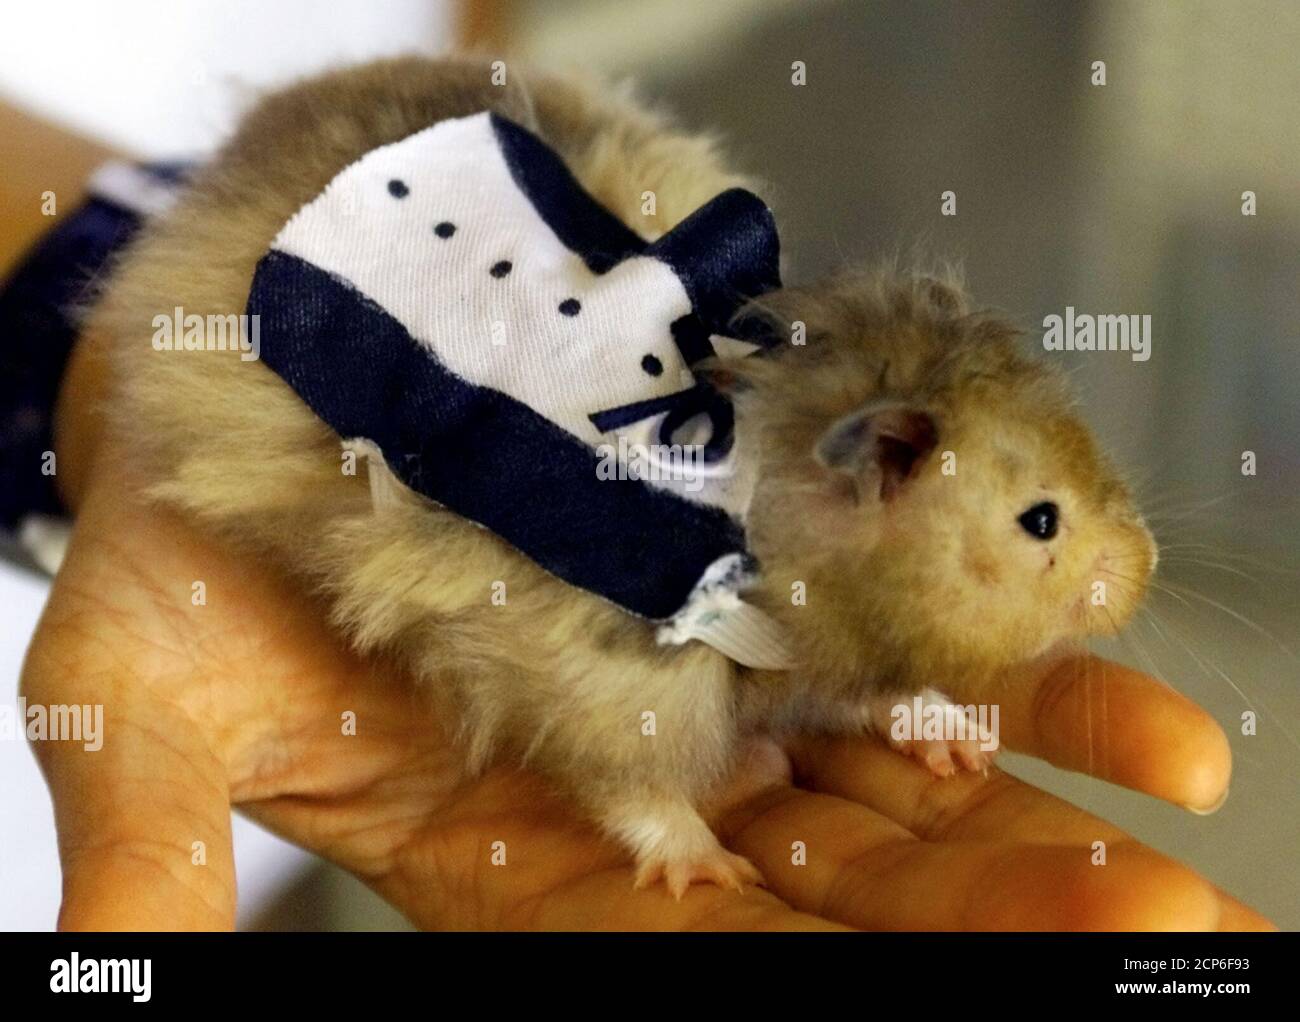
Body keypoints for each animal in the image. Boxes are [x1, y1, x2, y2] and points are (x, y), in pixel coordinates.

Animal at [94, 56, 1157, 897]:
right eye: (1042, 523)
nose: (1144, 567)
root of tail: (245, 130)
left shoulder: (829, 663)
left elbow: (881, 698)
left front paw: (959, 740)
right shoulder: (606, 685)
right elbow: (637, 790)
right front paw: (715, 873)